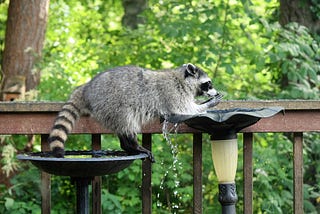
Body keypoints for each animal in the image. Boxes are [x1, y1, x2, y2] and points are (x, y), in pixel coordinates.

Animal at [48, 63, 222, 162]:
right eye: (208, 83)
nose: (216, 92)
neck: (182, 79)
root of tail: (88, 87)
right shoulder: (172, 93)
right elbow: (185, 111)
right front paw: (208, 103)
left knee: (122, 126)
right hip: (114, 104)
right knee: (128, 122)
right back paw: (133, 145)